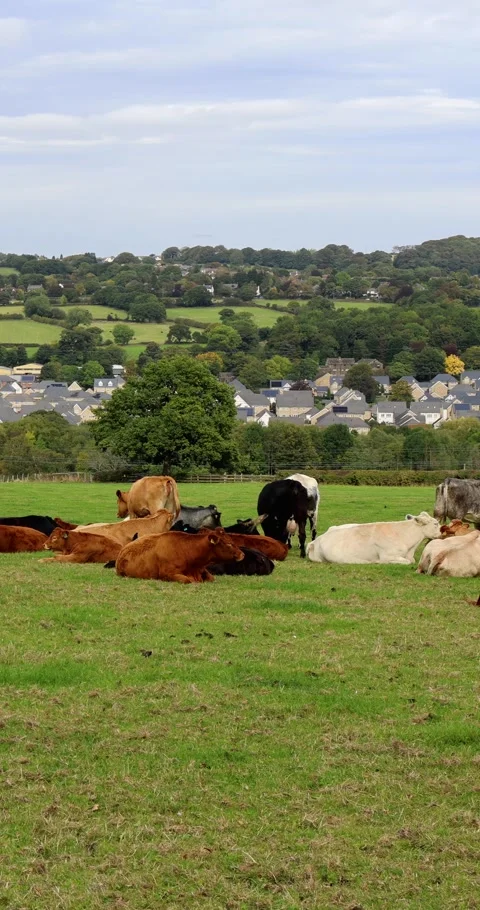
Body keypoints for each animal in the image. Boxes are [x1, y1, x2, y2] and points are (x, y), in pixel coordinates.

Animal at [307, 512, 441, 565]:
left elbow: (411, 561)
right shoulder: (387, 556)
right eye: (436, 524)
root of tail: (316, 541)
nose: (442, 532)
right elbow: (408, 562)